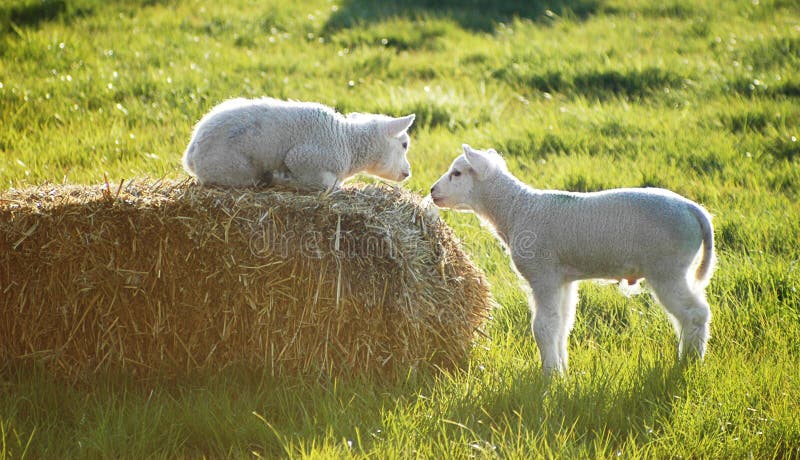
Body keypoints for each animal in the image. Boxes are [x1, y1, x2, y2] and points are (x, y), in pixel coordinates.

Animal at [182, 97, 416, 191]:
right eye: (404, 144)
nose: (408, 172)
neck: (347, 142)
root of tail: (190, 154)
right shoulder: (302, 158)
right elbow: (330, 184)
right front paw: (282, 179)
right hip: (232, 169)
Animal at [429, 144, 715, 375]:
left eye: (457, 173)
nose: (432, 191)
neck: (515, 208)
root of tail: (694, 209)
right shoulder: (562, 279)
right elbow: (562, 325)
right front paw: (562, 369)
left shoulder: (542, 274)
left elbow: (543, 327)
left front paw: (549, 376)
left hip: (667, 268)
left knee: (695, 314)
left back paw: (690, 362)